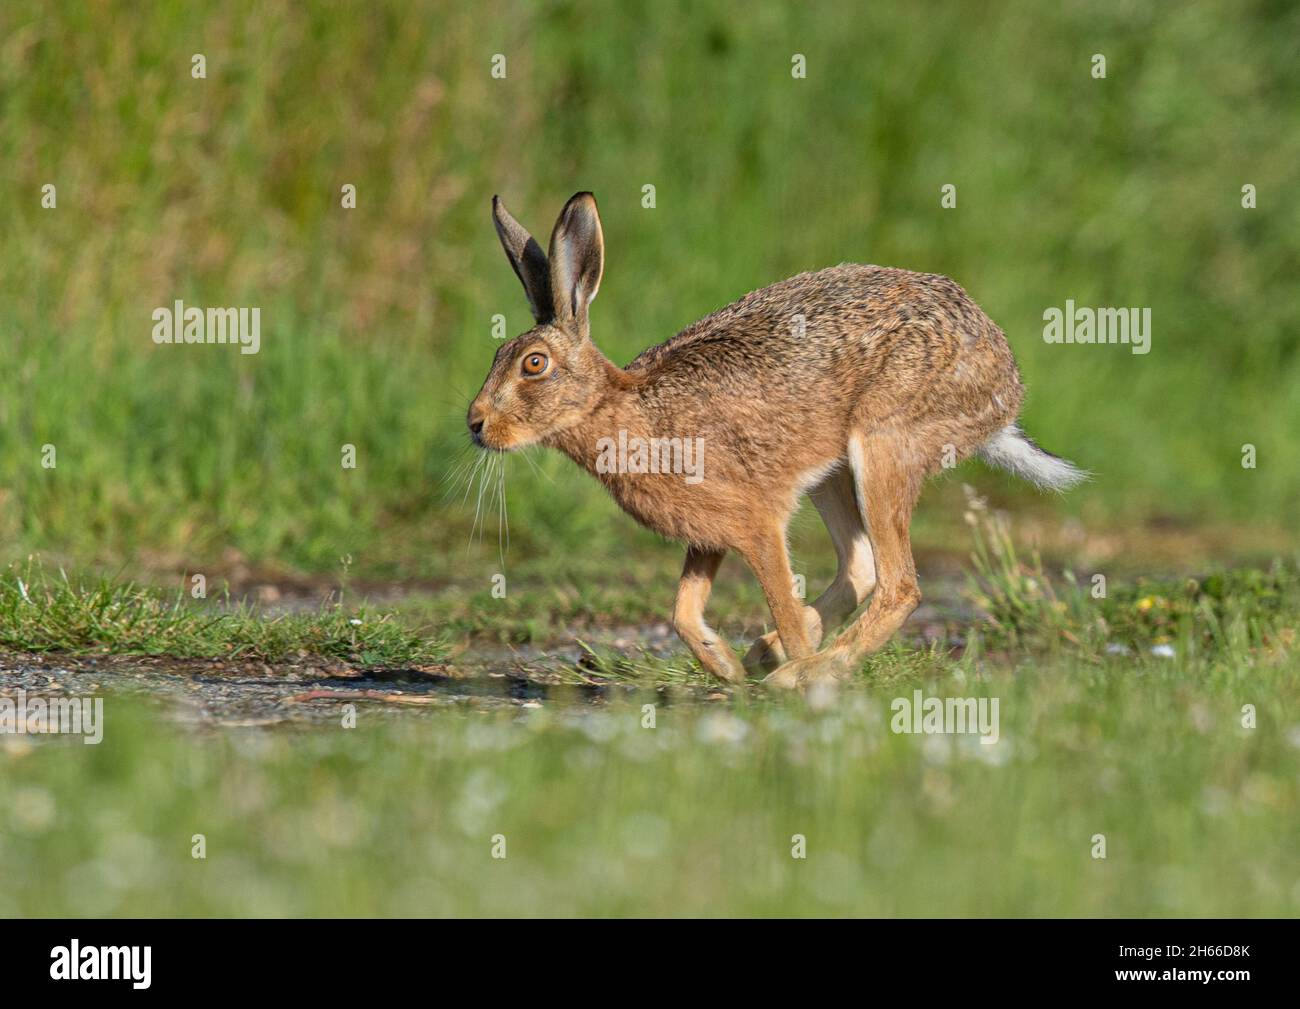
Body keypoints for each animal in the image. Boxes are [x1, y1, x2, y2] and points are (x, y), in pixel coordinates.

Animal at [468, 192, 1086, 690]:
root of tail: (1004, 385)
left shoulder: (757, 522)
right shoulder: (708, 534)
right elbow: (682, 612)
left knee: (899, 586)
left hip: (884, 446)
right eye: (495, 356)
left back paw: (804, 671)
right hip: (833, 471)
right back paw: (765, 655)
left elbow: (778, 599)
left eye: (533, 364)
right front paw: (725, 665)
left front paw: (784, 664)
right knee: (860, 568)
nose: (475, 424)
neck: (616, 405)